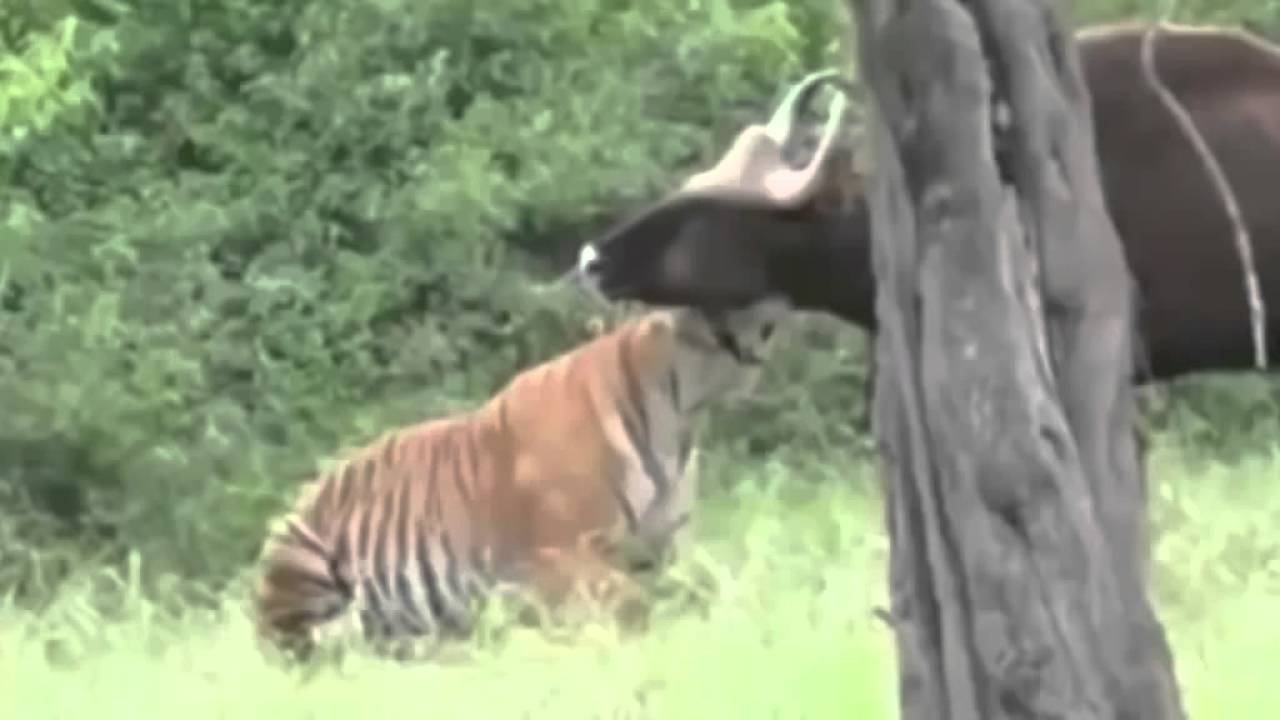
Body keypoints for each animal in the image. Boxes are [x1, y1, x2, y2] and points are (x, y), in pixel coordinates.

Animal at [251, 297, 791, 661]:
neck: (676, 412)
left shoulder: (665, 548)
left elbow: (713, 582)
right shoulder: (557, 554)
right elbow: (633, 604)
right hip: (300, 560)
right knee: (313, 647)